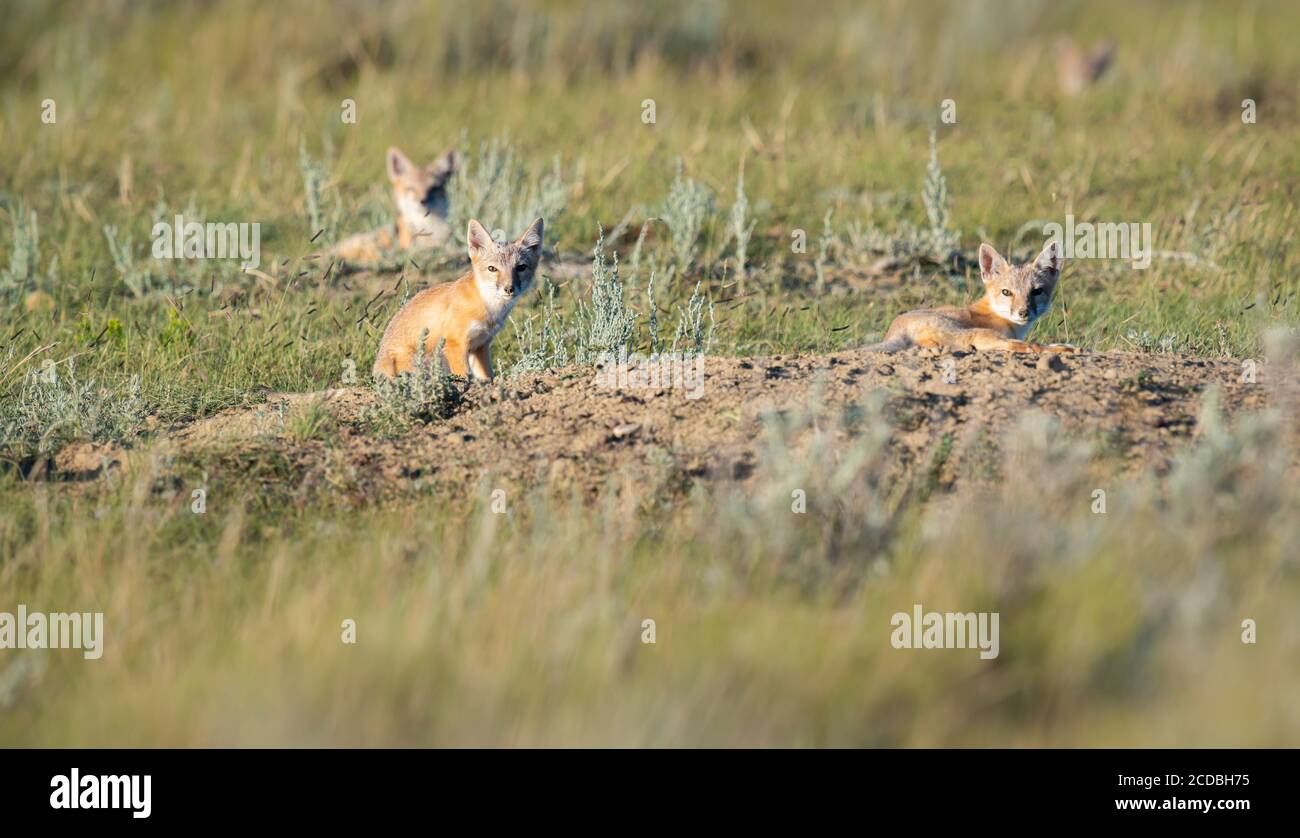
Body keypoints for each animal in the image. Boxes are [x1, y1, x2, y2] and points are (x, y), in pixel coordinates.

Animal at [372, 217, 544, 380]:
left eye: (521, 268)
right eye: (492, 269)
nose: (509, 288)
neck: (489, 308)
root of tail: (377, 366)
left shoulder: (480, 346)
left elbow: (488, 377)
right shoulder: (455, 344)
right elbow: (465, 376)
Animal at [867, 240, 1077, 354]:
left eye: (1036, 291)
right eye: (1006, 292)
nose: (1023, 312)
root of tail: (895, 329)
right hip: (981, 334)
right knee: (1026, 346)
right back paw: (1066, 349)